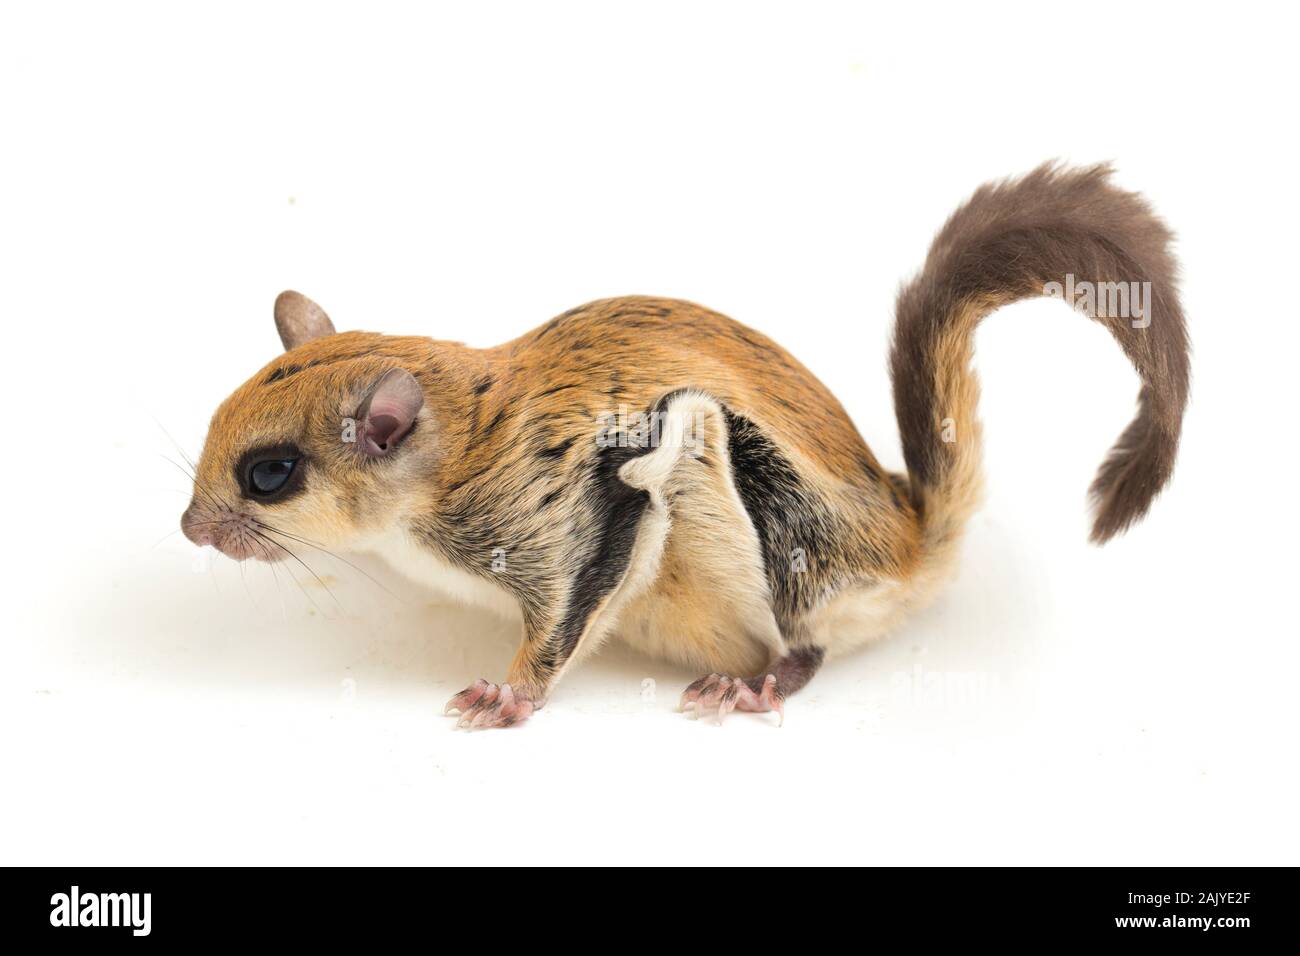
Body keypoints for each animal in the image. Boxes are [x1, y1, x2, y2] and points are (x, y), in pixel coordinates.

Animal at [181, 162, 1190, 728]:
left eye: (270, 474)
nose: (192, 529)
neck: (462, 443)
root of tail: (909, 542)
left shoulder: (572, 509)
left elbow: (565, 614)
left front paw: (511, 697)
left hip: (730, 476)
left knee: (804, 642)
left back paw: (758, 684)